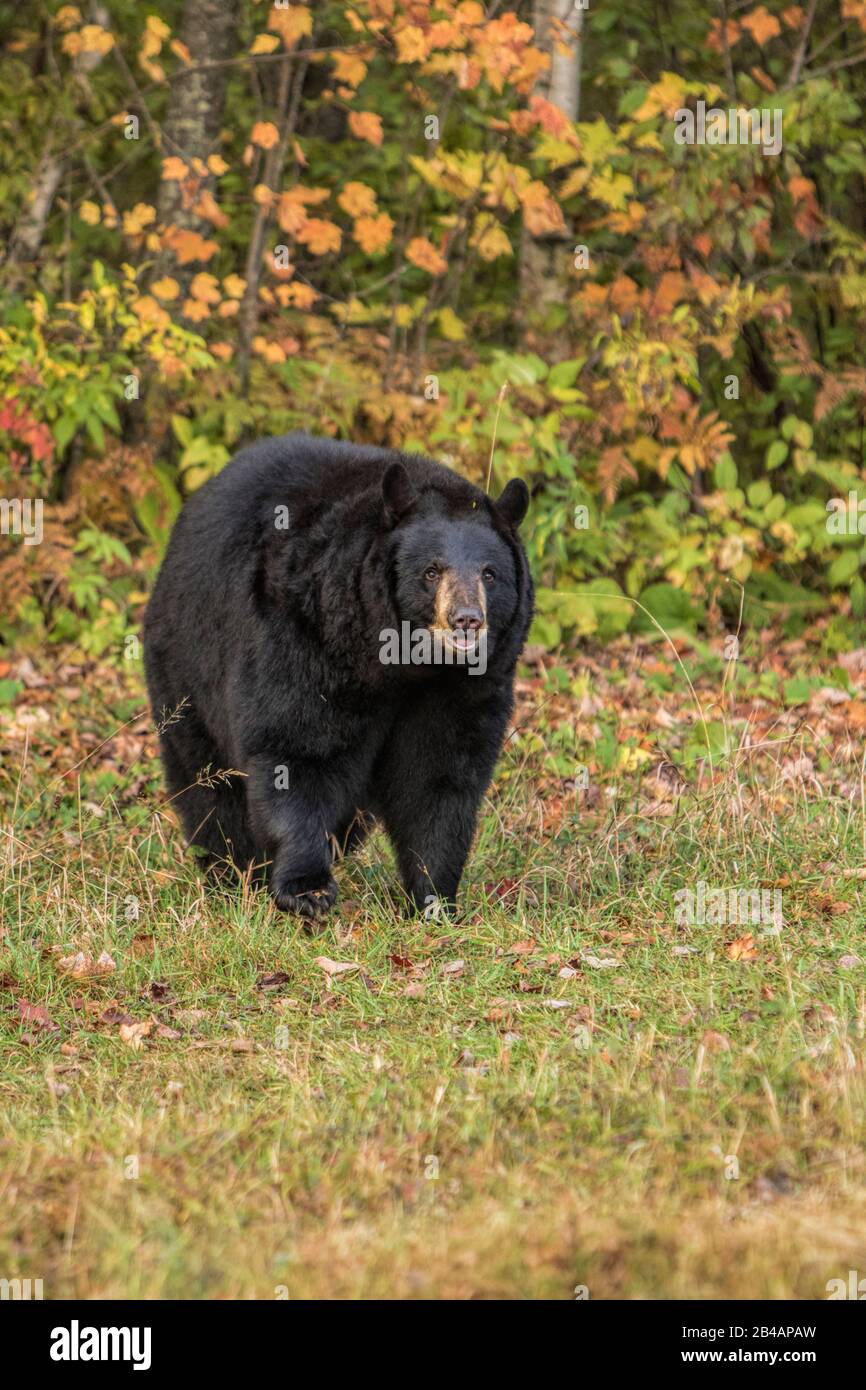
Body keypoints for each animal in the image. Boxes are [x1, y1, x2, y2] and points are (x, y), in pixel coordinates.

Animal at [143, 432, 533, 922]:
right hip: (187, 664)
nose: (466, 620)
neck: (406, 664)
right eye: (431, 571)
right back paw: (233, 871)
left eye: (490, 573)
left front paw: (434, 899)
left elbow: (439, 776)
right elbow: (297, 748)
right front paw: (306, 889)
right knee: (208, 778)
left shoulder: (463, 687)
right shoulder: (310, 634)